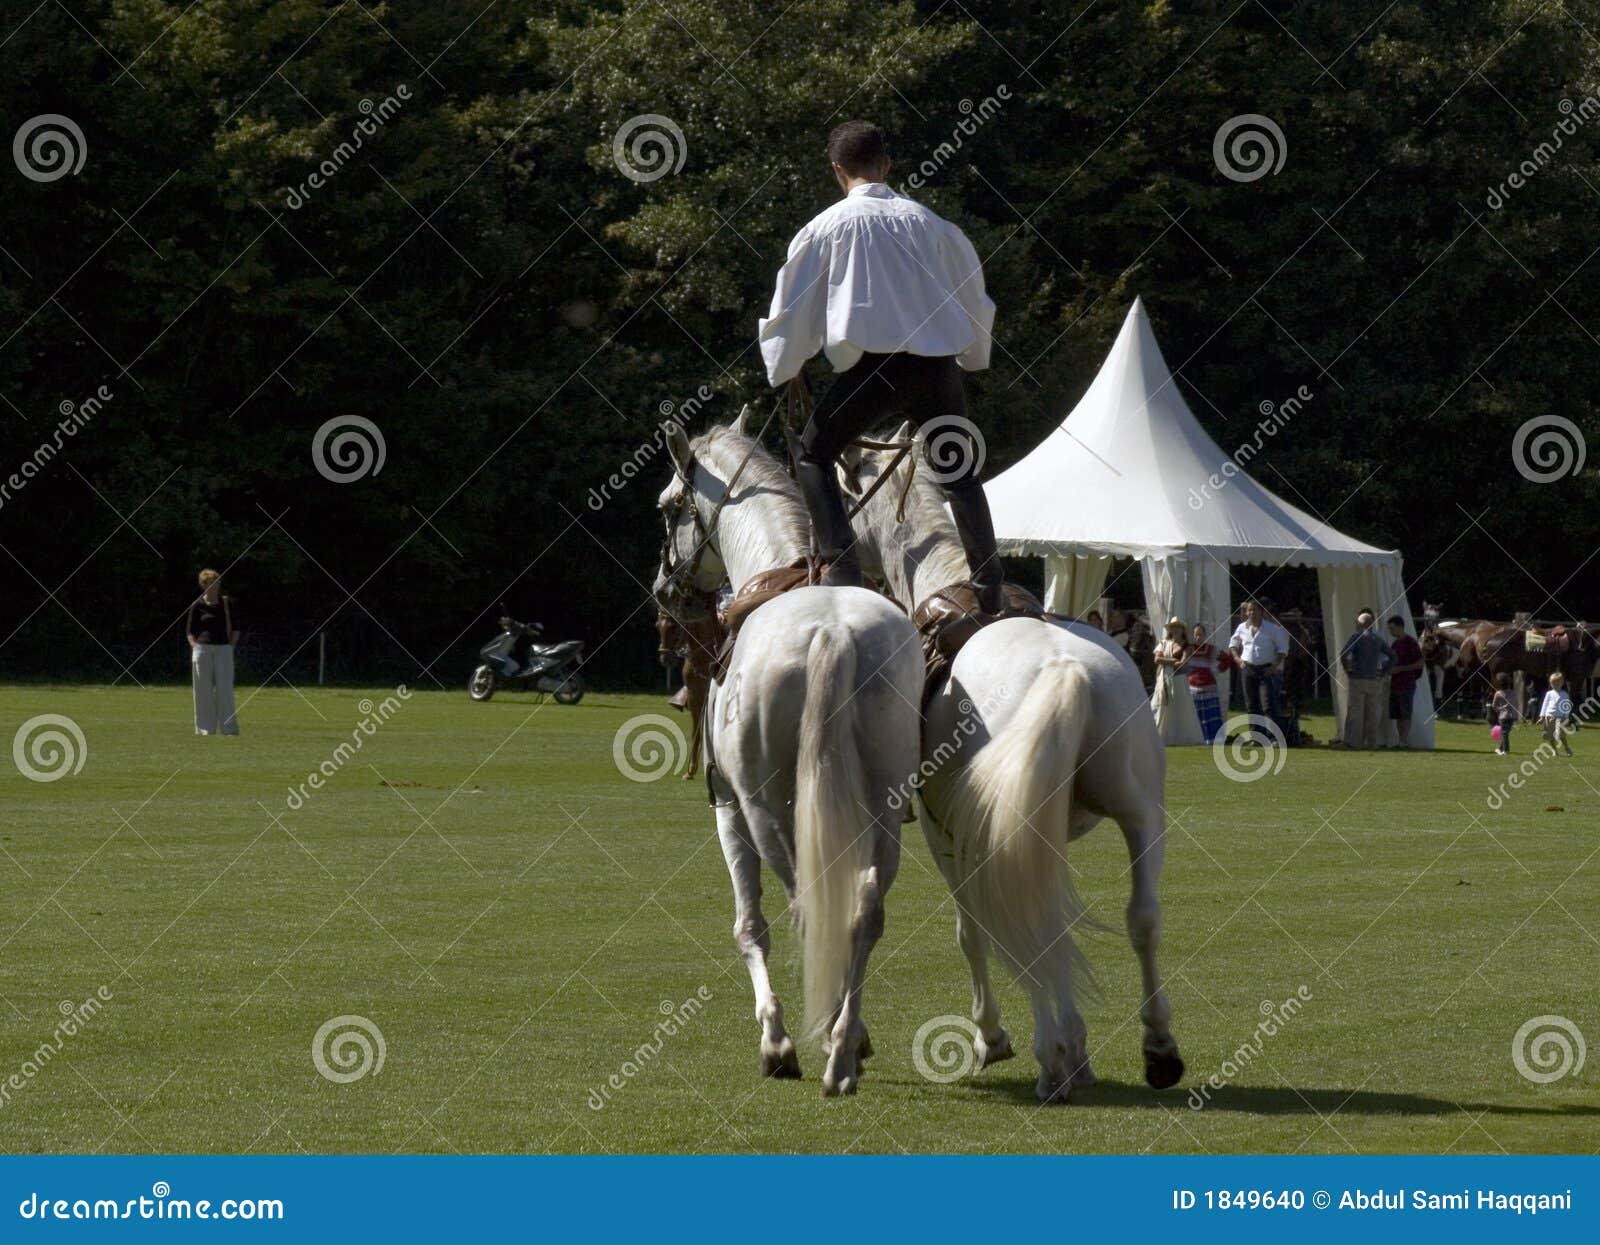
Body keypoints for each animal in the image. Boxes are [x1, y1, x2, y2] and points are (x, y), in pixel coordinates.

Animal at [653, 411, 923, 1097]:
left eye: (666, 506)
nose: (664, 591)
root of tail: (831, 633)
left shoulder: (728, 809)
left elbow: (750, 926)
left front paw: (775, 1039)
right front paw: (852, 1035)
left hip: (764, 808)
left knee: (806, 907)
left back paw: (813, 1042)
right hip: (884, 806)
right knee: (863, 909)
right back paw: (844, 1048)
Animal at [837, 428, 1184, 1104]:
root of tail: (1065, 671)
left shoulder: (949, 838)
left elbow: (974, 933)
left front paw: (996, 1038)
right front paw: (1075, 1046)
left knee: (1027, 929)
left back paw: (1053, 1061)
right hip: (1139, 817)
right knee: (1142, 919)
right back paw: (1157, 1049)